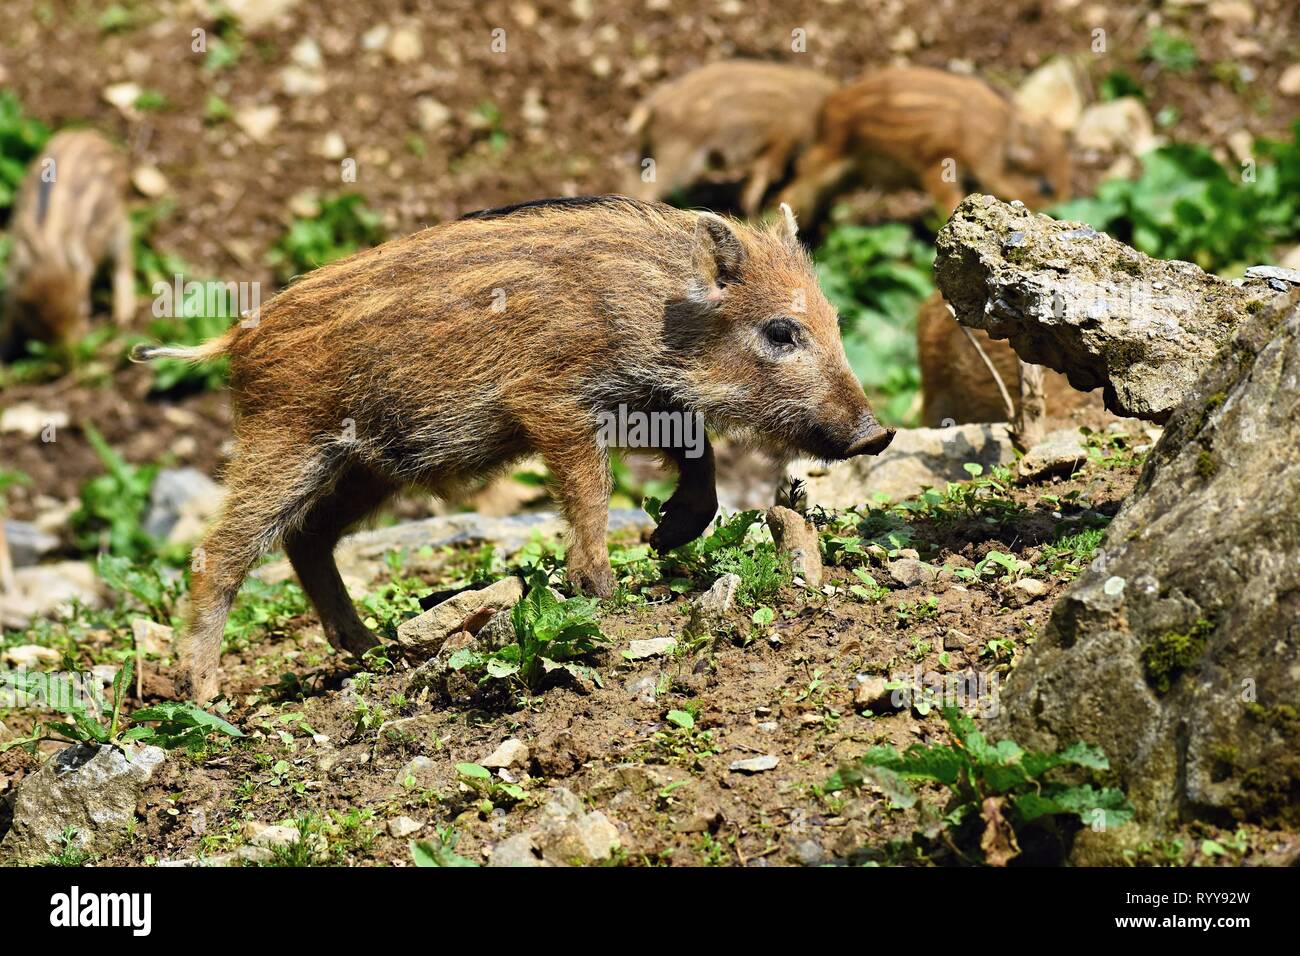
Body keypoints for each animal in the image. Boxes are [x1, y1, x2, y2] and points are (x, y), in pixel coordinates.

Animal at [1, 129, 134, 358]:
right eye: (36, 321)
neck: (47, 255)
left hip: (118, 223)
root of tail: (89, 133)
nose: (73, 354)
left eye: (84, 310)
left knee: (124, 258)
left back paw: (123, 316)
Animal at [132, 196, 894, 701]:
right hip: (286, 440)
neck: (656, 309)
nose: (878, 433)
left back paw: (374, 650)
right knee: (219, 553)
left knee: (307, 539)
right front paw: (602, 590)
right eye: (780, 331)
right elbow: (591, 491)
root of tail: (236, 339)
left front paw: (665, 539)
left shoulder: (649, 400)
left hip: (370, 465)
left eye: (834, 320)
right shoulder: (552, 402)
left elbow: (698, 456)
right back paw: (206, 693)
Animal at [777, 65, 1072, 231]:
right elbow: (948, 200)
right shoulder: (938, 162)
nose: (1057, 215)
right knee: (801, 174)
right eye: (1045, 187)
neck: (990, 140)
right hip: (832, 149)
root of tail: (823, 112)